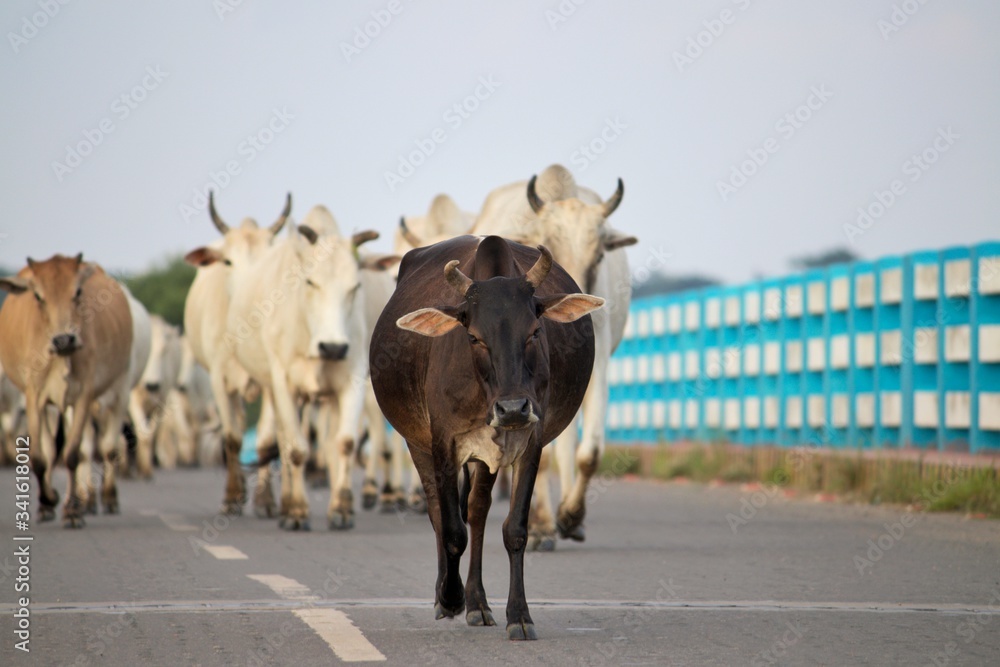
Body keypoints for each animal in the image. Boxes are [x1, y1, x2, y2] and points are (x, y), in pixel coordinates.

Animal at [0, 254, 133, 527]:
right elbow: (39, 458)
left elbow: (73, 454)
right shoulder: (33, 397)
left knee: (98, 448)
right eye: (38, 296)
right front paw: (49, 499)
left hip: (118, 390)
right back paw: (47, 505)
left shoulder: (83, 396)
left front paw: (72, 510)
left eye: (78, 291)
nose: (64, 340)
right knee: (50, 450)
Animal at [183, 191, 289, 514]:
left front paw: (265, 500)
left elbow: (266, 440)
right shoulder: (218, 379)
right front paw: (231, 497)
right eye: (228, 261)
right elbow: (231, 439)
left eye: (267, 261)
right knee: (237, 429)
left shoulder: (270, 381)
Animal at [224, 214, 396, 531]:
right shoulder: (284, 384)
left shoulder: (352, 380)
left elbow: (345, 443)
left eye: (355, 287)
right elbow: (296, 450)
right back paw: (282, 505)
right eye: (310, 282)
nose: (333, 347)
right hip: (274, 390)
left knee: (328, 443)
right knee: (282, 441)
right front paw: (297, 512)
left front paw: (341, 509)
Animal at [370, 235, 603, 640]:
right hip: (418, 444)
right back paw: (448, 596)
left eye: (535, 332)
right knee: (439, 513)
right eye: (474, 337)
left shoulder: (529, 441)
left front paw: (519, 615)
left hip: (487, 456)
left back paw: (478, 603)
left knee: (477, 511)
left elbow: (515, 529)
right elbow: (451, 530)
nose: (511, 409)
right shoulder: (442, 444)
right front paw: (450, 598)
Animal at [471, 164, 637, 549]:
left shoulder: (596, 368)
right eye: (549, 257)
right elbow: (539, 456)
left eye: (599, 256)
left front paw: (571, 517)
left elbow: (588, 452)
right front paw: (541, 527)